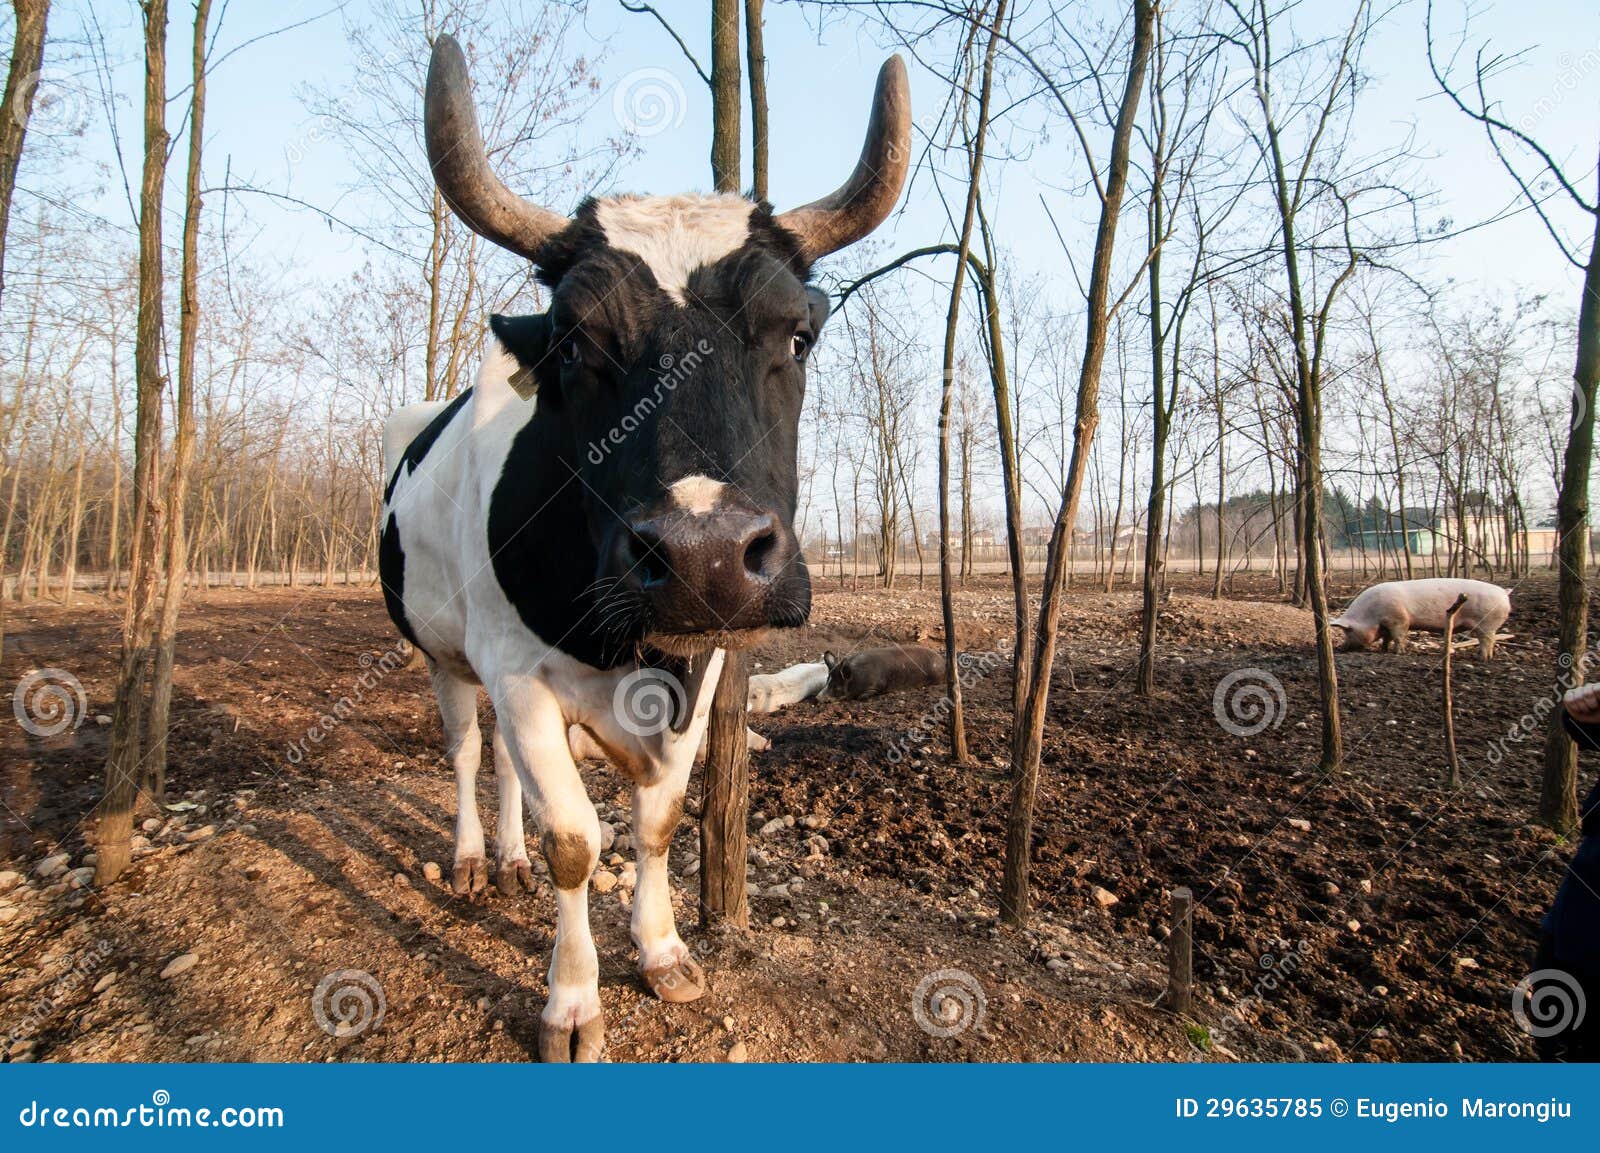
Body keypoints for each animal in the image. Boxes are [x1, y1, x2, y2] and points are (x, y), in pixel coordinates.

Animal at [378, 35, 909, 1062]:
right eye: (574, 344)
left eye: (798, 335)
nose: (705, 556)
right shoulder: (517, 670)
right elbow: (576, 841)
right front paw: (572, 1000)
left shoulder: (706, 665)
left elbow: (658, 821)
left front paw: (661, 950)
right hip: (445, 653)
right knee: (466, 750)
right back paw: (471, 858)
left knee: (504, 771)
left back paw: (505, 856)